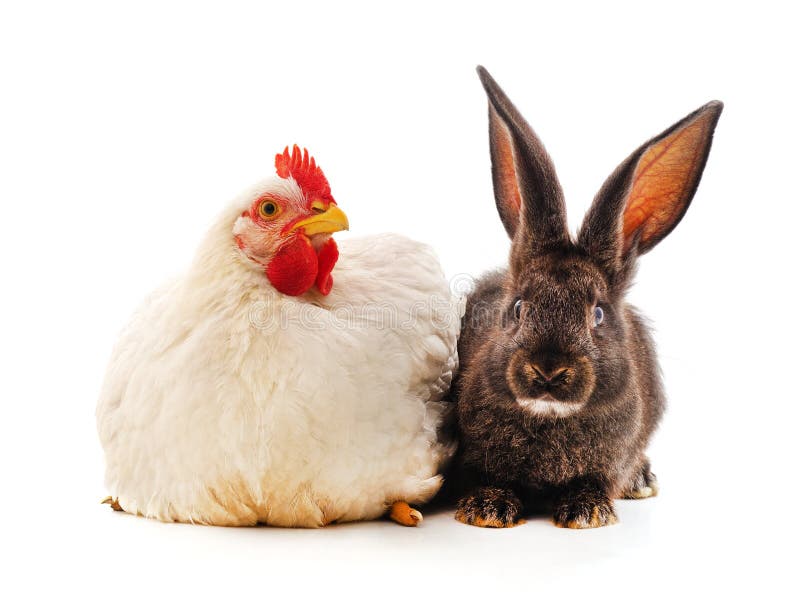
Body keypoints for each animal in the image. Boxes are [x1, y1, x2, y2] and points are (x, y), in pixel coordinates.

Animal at [449, 66, 723, 529]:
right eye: (518, 308)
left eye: (597, 315)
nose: (548, 369)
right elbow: (491, 478)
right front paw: (487, 508)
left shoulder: (610, 460)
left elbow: (593, 482)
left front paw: (586, 511)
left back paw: (642, 481)